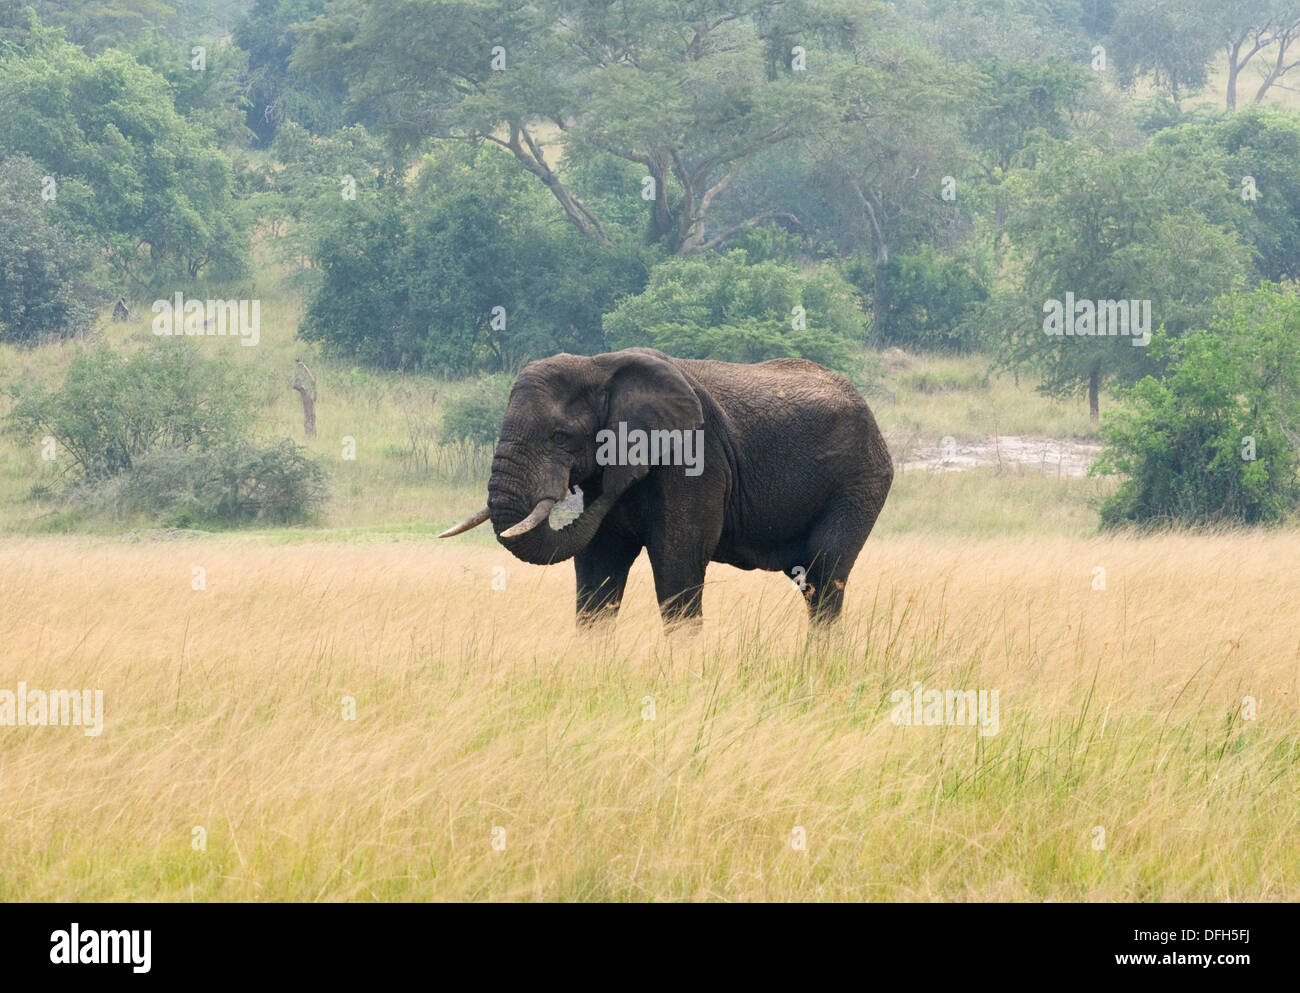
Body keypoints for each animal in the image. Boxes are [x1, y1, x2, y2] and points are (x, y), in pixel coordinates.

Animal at [440, 347, 893, 627]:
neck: (600, 366)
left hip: (860, 480)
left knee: (825, 574)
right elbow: (598, 567)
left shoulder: (695, 458)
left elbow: (678, 561)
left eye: (560, 436)